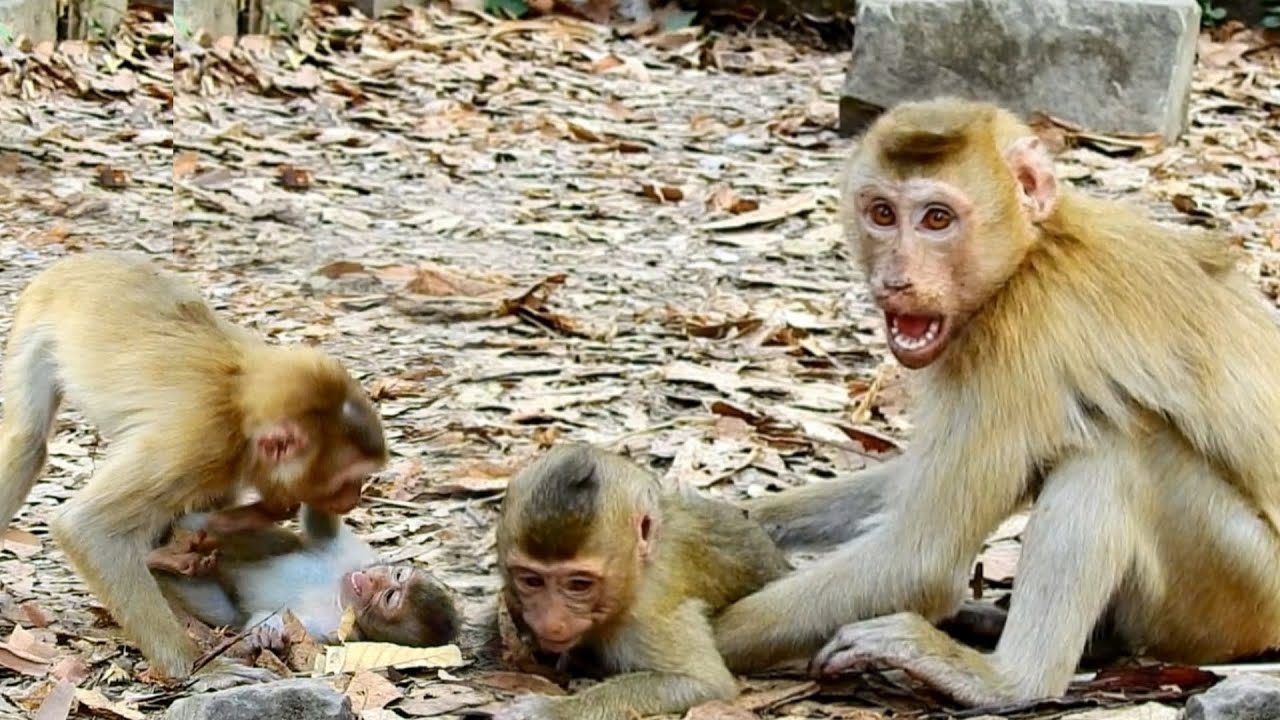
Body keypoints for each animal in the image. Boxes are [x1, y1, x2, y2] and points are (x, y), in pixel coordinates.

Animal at [0, 250, 390, 684]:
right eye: (348, 479)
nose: (354, 498)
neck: (240, 409)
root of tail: (85, 259)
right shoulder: (199, 447)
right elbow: (85, 528)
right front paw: (197, 667)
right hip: (36, 320)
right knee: (26, 443)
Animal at [148, 505, 461, 652]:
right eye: (396, 575)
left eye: (389, 598)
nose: (373, 581)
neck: (339, 591)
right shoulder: (358, 555)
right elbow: (322, 530)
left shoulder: (339, 629)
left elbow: (289, 623)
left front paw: (269, 630)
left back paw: (164, 561)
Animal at [489, 443, 792, 720]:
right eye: (532, 581)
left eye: (579, 585)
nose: (551, 622)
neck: (635, 571)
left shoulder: (650, 610)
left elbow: (705, 683)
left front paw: (551, 710)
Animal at [711, 96, 1280, 707]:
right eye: (882, 213)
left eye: (937, 219)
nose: (896, 279)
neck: (1032, 252)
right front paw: (737, 516)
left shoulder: (1023, 340)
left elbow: (920, 559)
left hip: (1240, 587)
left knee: (1118, 449)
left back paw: (1007, 679)